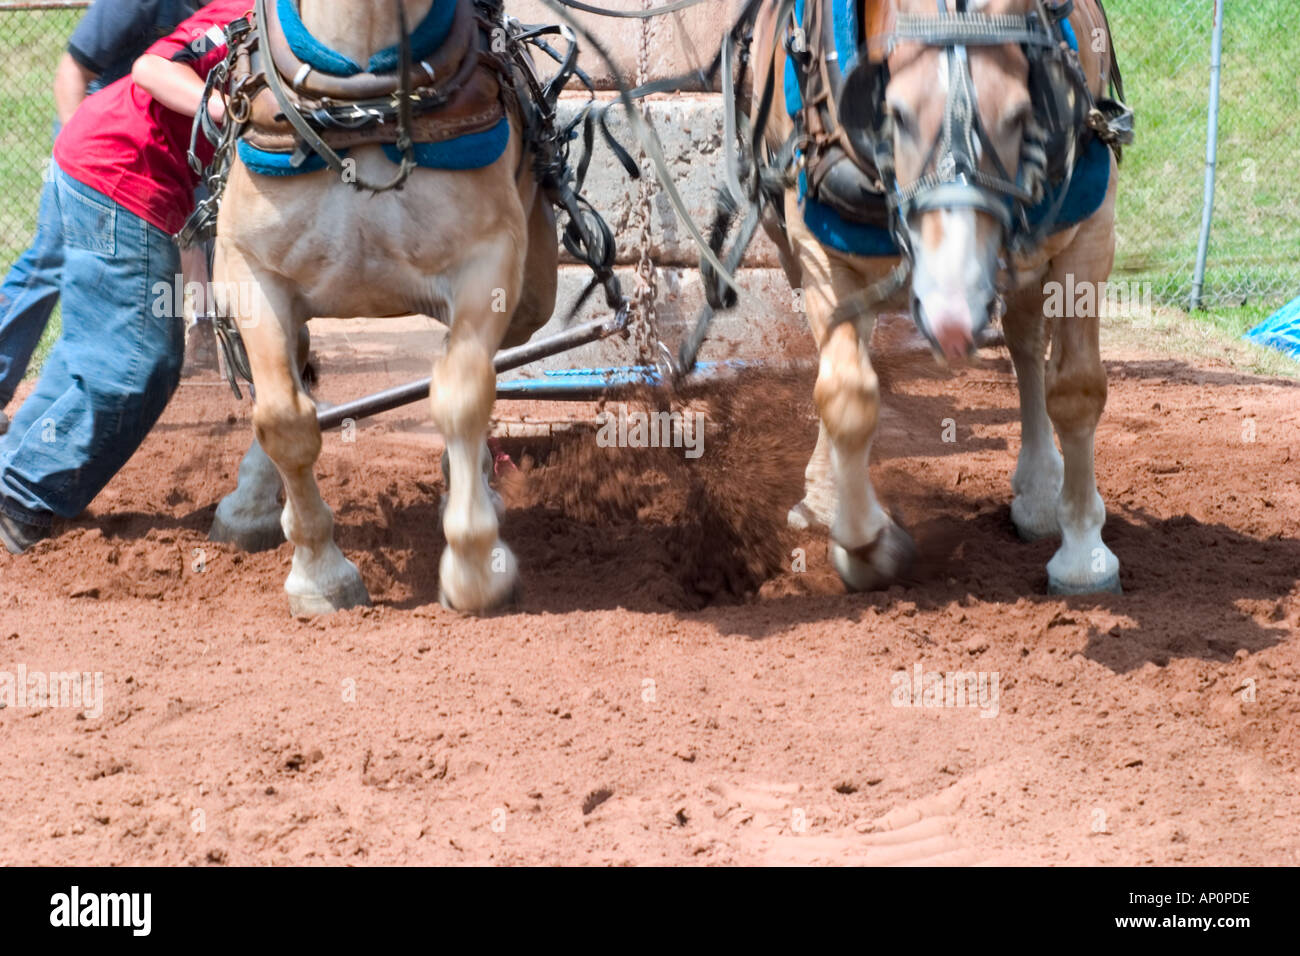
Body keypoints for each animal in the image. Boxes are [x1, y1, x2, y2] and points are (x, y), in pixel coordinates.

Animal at [207, 0, 559, 614]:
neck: (362, 103)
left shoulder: (487, 261)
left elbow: (462, 396)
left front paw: (475, 568)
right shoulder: (252, 272)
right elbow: (283, 419)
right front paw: (319, 575)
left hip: (530, 296)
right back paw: (250, 504)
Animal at [747, 0, 1130, 595]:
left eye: (1019, 114)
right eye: (898, 114)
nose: (952, 317)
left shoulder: (1090, 230)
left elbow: (1076, 390)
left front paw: (1084, 554)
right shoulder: (815, 246)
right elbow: (845, 395)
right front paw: (867, 545)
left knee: (1026, 344)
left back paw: (1042, 491)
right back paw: (824, 494)